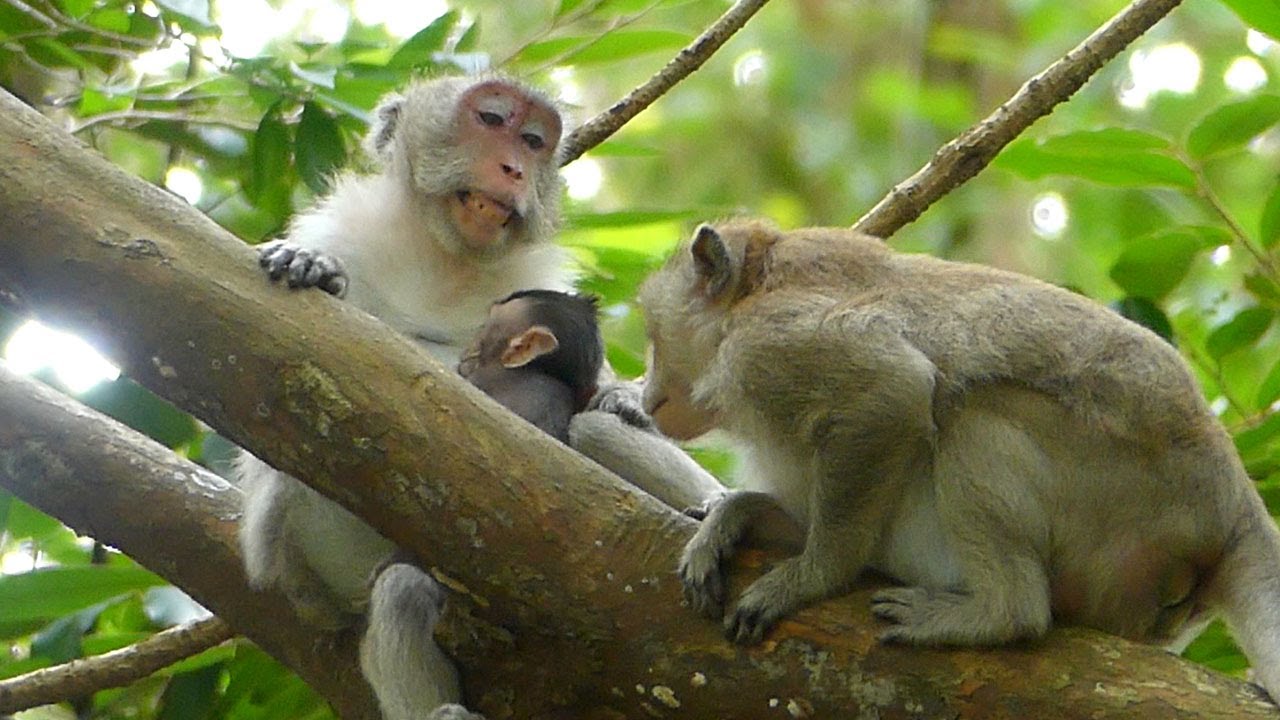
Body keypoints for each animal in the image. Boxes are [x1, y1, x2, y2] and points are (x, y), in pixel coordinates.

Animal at [637, 217, 1280, 702]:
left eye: (651, 336)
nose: (645, 396)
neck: (753, 292)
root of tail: (1233, 500)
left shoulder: (768, 348)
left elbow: (891, 392)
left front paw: (812, 575)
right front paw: (734, 516)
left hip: (1128, 502)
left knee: (974, 414)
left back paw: (999, 613)